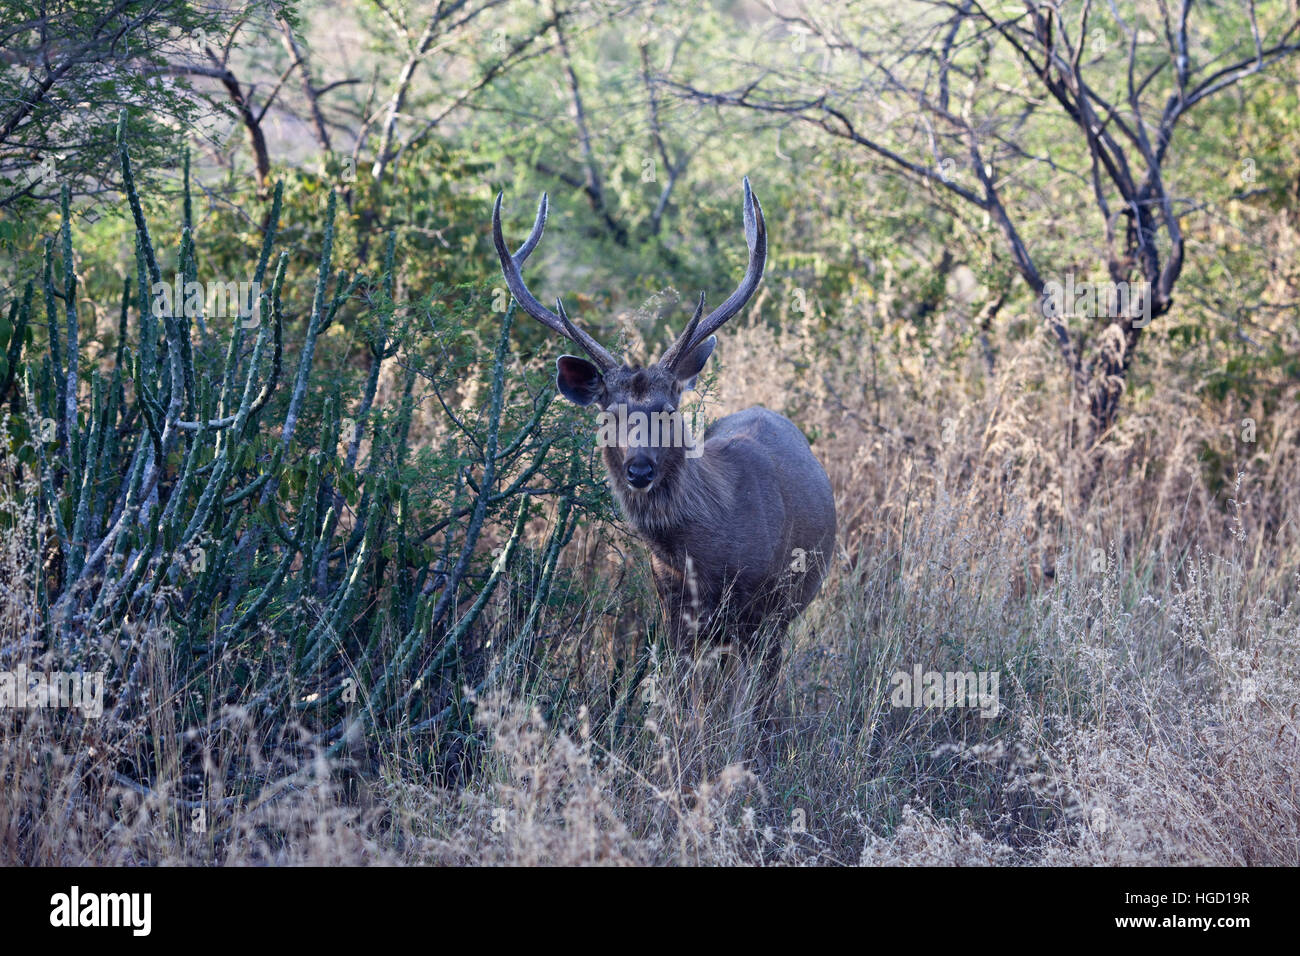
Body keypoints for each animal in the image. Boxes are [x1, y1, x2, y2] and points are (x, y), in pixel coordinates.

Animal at [492, 178, 836, 708]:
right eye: (608, 414)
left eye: (667, 410)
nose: (639, 469)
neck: (708, 554)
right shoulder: (673, 611)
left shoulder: (766, 612)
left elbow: (750, 709)